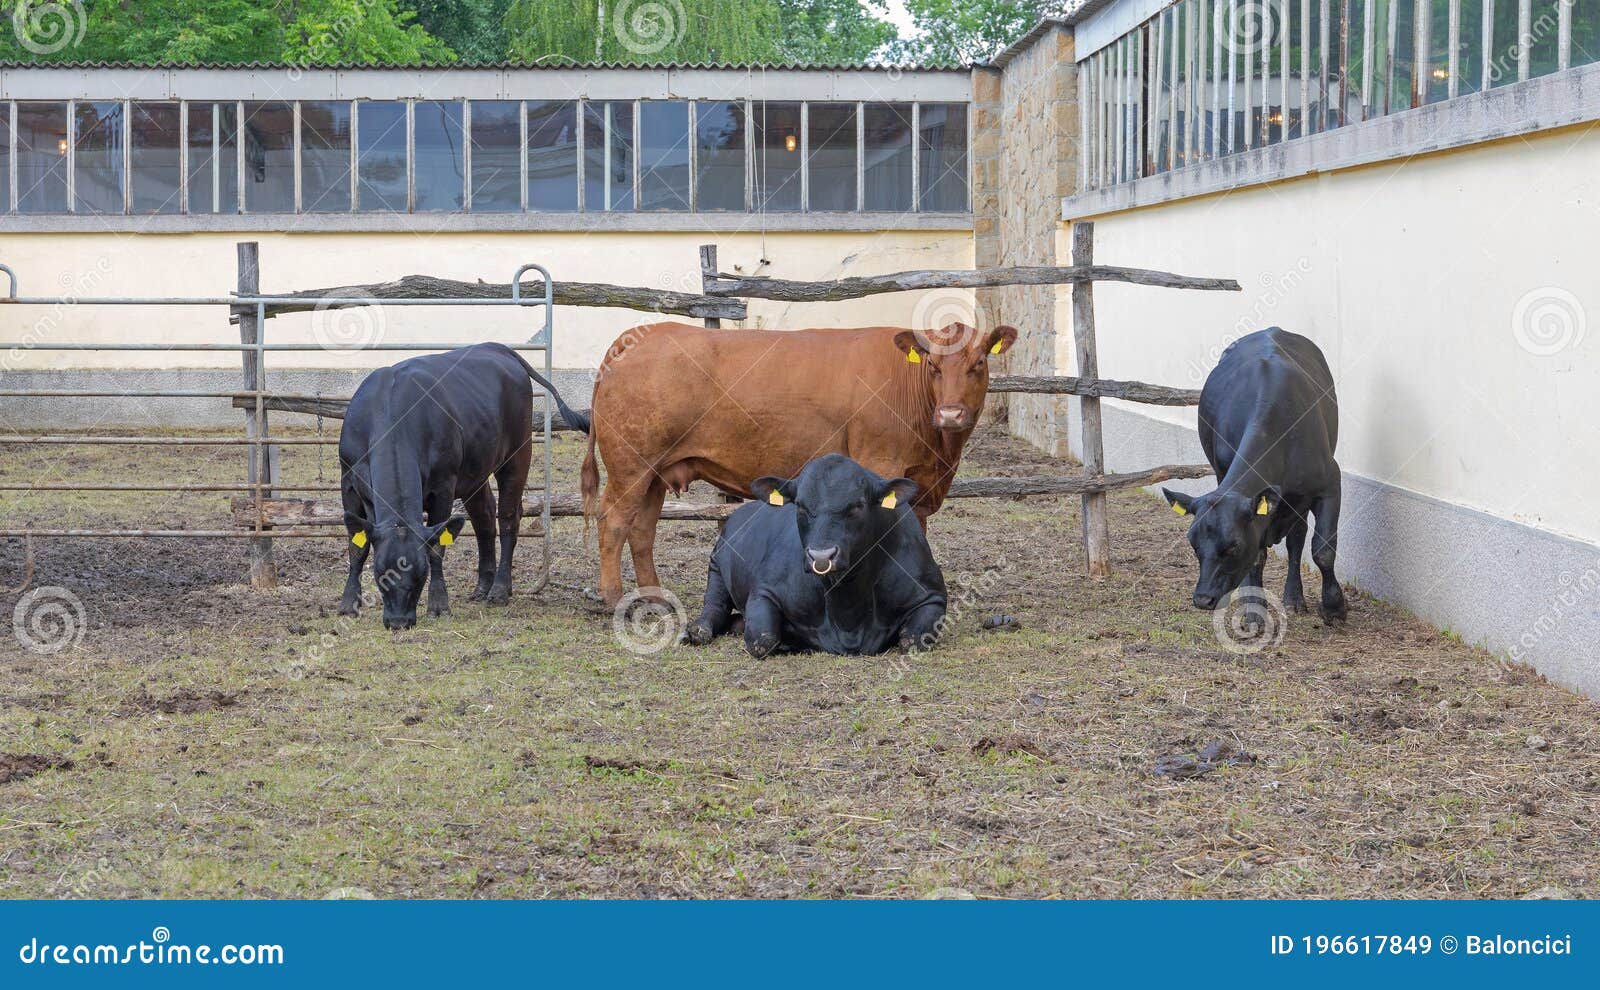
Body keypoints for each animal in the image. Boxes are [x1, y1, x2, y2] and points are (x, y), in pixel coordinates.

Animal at [338, 342, 591, 630]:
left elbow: (437, 548)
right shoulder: (348, 482)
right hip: (475, 472)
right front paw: (348, 604)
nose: (399, 622)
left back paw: (499, 589)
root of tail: (497, 347)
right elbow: (357, 548)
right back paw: (483, 586)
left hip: (517, 455)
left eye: (421, 575)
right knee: (484, 517)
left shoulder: (444, 486)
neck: (390, 410)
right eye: (381, 572)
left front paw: (439, 604)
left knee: (508, 517)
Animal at [581, 320, 1016, 607]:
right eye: (934, 367)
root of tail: (643, 333)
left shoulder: (920, 485)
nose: (950, 414)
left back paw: (654, 597)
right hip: (630, 467)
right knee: (614, 522)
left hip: (654, 473)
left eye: (978, 363)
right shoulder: (881, 461)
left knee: (642, 530)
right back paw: (613, 597)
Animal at [686, 454, 947, 657]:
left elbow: (912, 639)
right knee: (714, 605)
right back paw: (699, 630)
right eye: (800, 505)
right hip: (716, 566)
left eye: (858, 505)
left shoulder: (933, 596)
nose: (821, 556)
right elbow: (762, 640)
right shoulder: (764, 590)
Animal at [1161, 327, 1347, 623]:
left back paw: (1294, 598)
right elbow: (1257, 557)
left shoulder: (1329, 483)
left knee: (1297, 540)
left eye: (1233, 546)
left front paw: (1334, 606)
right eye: (1193, 545)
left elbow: (1323, 549)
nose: (1202, 599)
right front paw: (1252, 610)